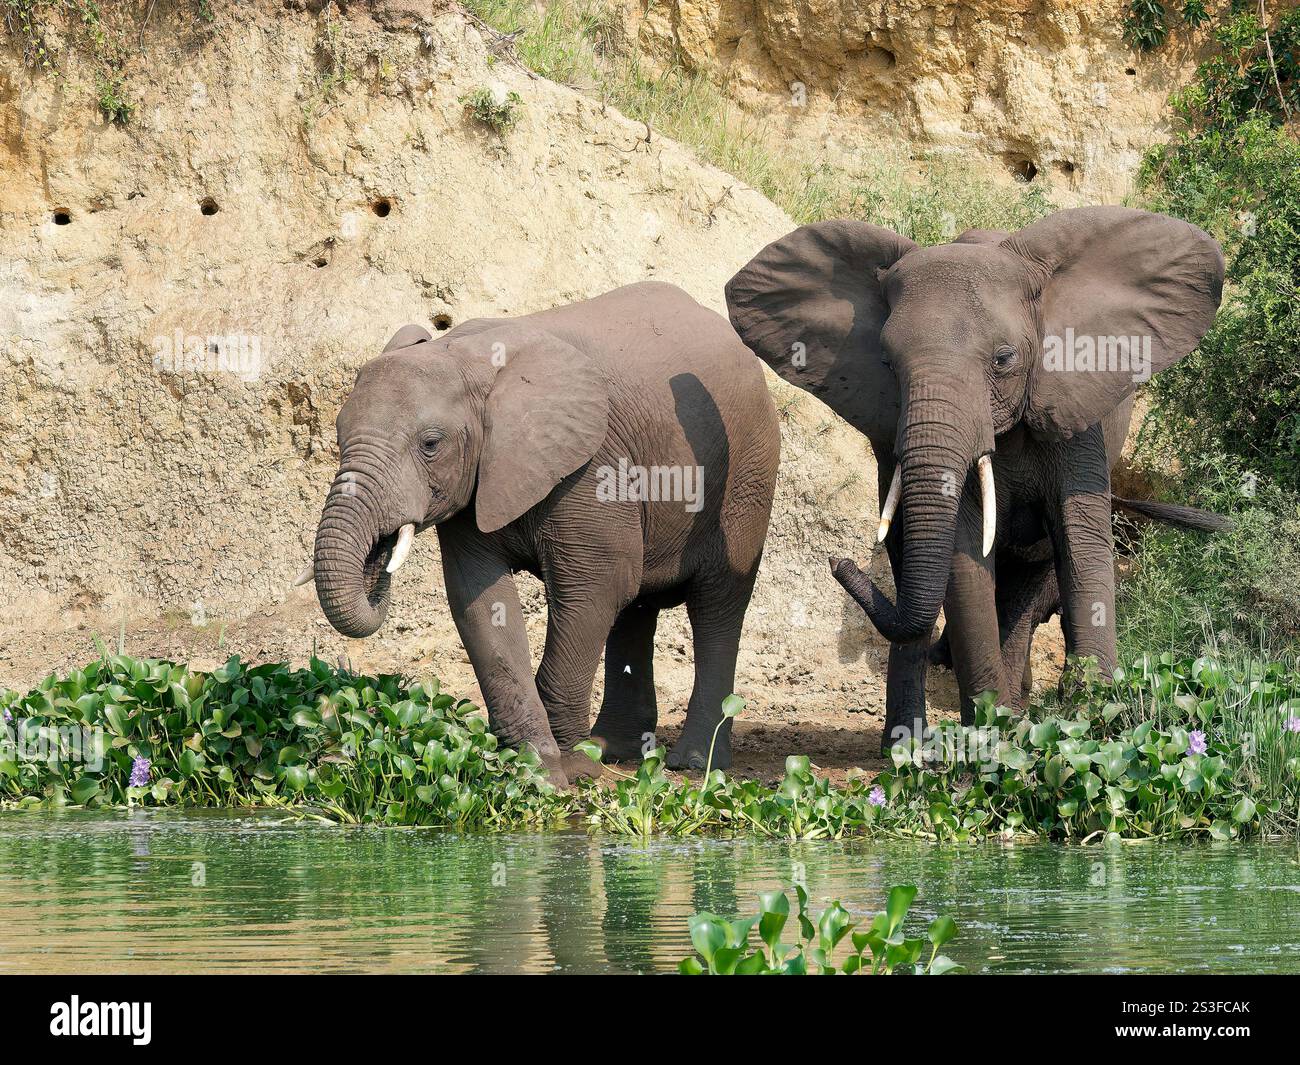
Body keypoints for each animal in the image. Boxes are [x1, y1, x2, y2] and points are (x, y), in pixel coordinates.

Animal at [298, 281, 780, 785]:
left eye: (430, 444)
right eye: (339, 436)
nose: (382, 551)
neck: (468, 360)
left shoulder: (591, 466)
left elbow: (592, 588)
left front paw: (566, 770)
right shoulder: (480, 480)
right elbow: (481, 601)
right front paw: (532, 770)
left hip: (747, 469)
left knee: (715, 605)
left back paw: (692, 763)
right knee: (636, 607)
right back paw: (613, 751)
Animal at [726, 207, 1224, 746]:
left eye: (1004, 359)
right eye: (886, 364)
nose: (838, 563)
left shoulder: (1072, 405)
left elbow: (1082, 545)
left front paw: (1091, 731)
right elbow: (964, 561)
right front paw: (992, 740)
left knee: (1025, 585)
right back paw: (908, 745)